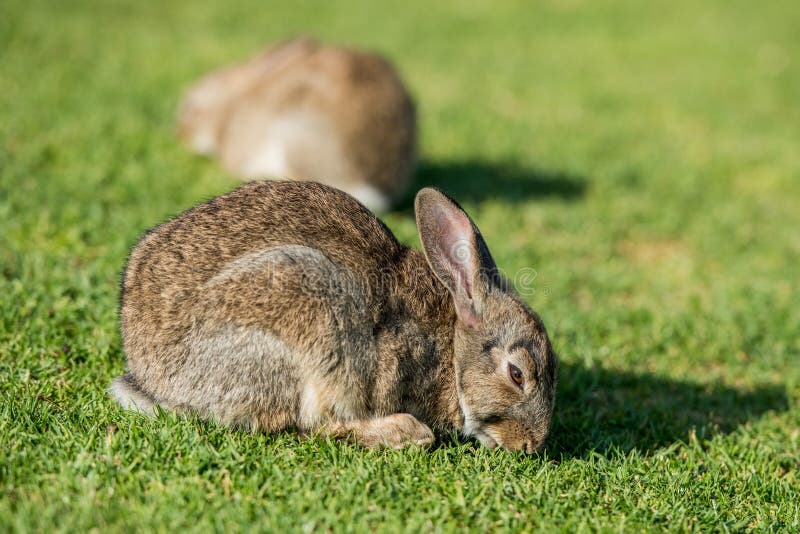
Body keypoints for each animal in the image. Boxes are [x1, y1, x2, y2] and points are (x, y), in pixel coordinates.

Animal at [111, 181, 558, 452]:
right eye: (517, 374)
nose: (530, 445)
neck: (449, 349)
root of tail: (151, 376)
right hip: (308, 318)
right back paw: (404, 431)